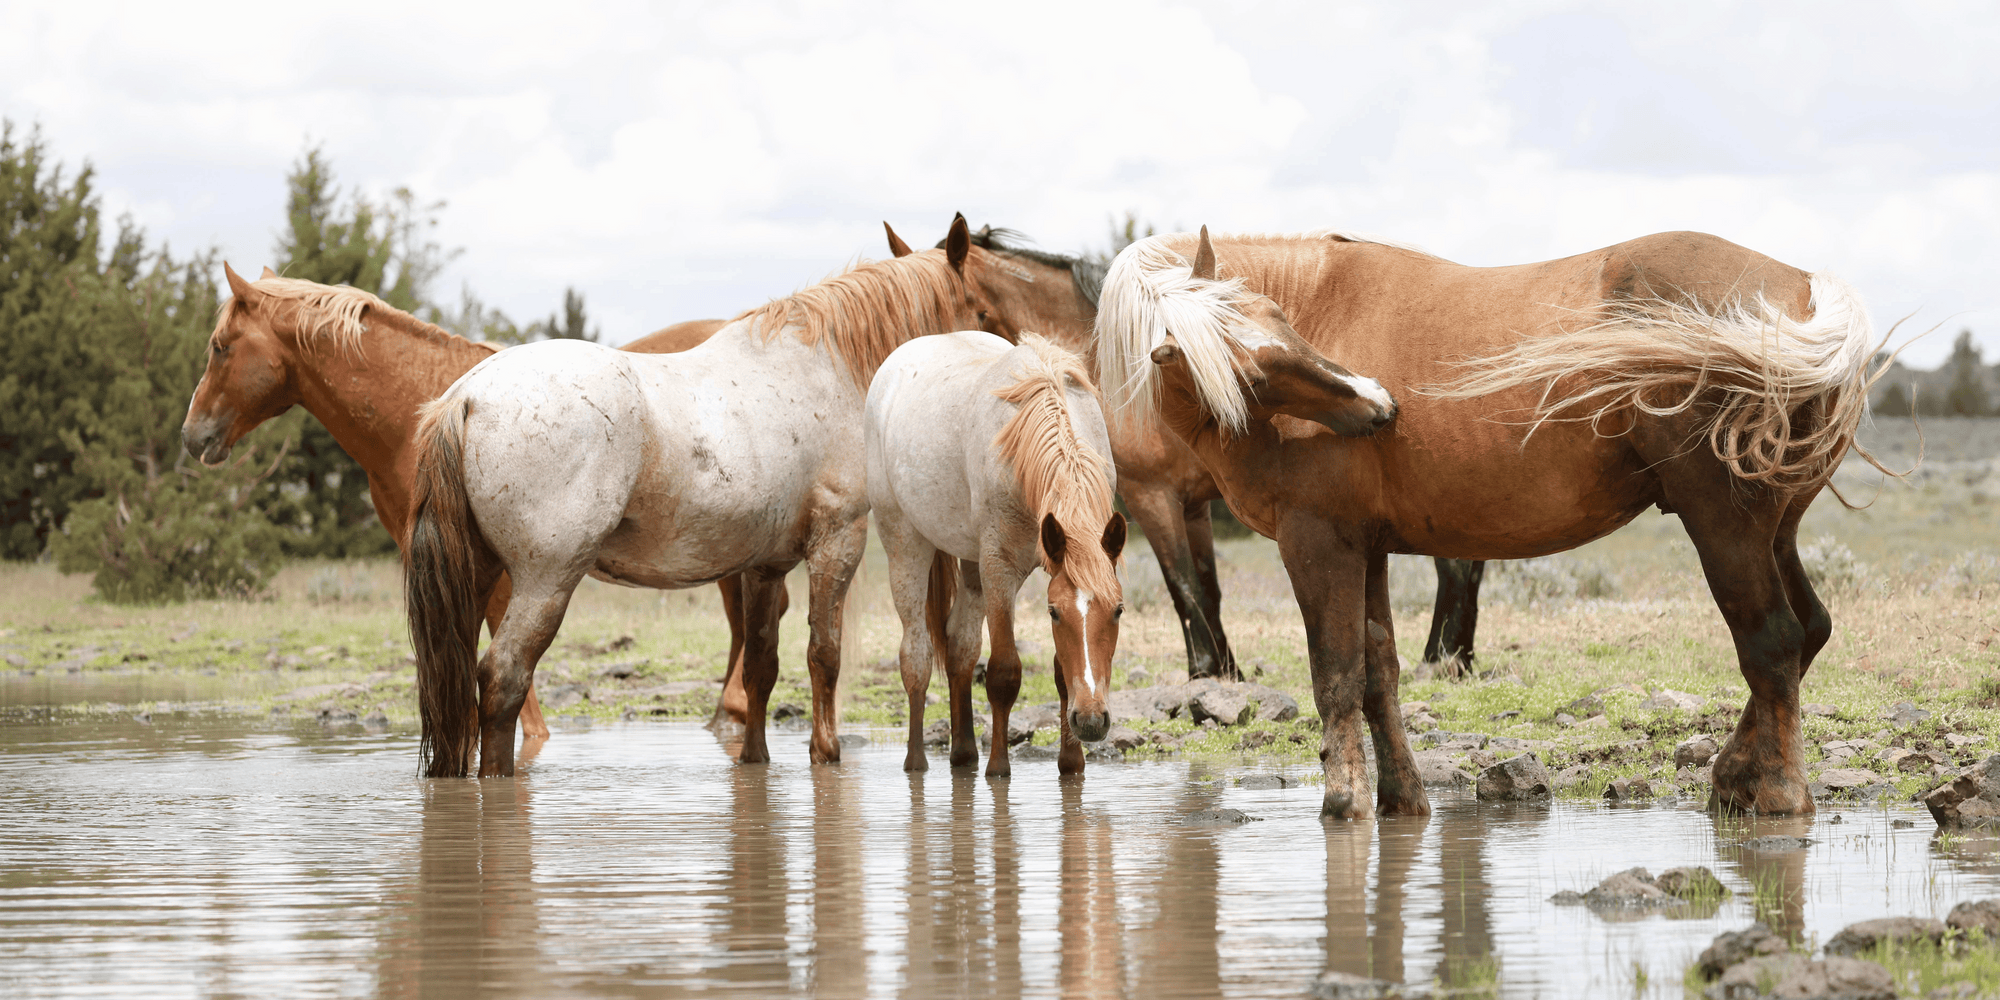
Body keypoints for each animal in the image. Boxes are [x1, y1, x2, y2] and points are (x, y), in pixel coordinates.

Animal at [404, 216, 1042, 777]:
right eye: (983, 310)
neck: (828, 369)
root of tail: (467, 397)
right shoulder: (837, 540)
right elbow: (824, 653)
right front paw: (826, 752)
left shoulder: (764, 566)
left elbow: (760, 664)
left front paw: (755, 758)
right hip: (546, 581)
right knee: (503, 680)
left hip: (480, 578)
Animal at [866, 333, 1126, 778]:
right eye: (1054, 613)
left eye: (1119, 610)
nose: (1092, 720)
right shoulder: (999, 568)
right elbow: (1004, 673)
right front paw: (998, 769)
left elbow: (1061, 672)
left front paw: (1071, 762)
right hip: (905, 544)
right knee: (916, 655)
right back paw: (917, 761)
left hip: (970, 565)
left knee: (960, 647)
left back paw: (963, 754)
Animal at [1098, 227, 1888, 819]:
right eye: (1255, 369)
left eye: (1283, 327)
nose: (1380, 405)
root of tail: (1801, 289)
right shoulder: (1367, 549)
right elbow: (1379, 675)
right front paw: (1401, 800)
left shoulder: (1317, 544)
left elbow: (1337, 677)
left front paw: (1344, 802)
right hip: (1775, 532)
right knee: (1809, 630)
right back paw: (1733, 775)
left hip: (1726, 528)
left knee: (1772, 643)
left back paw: (1777, 793)